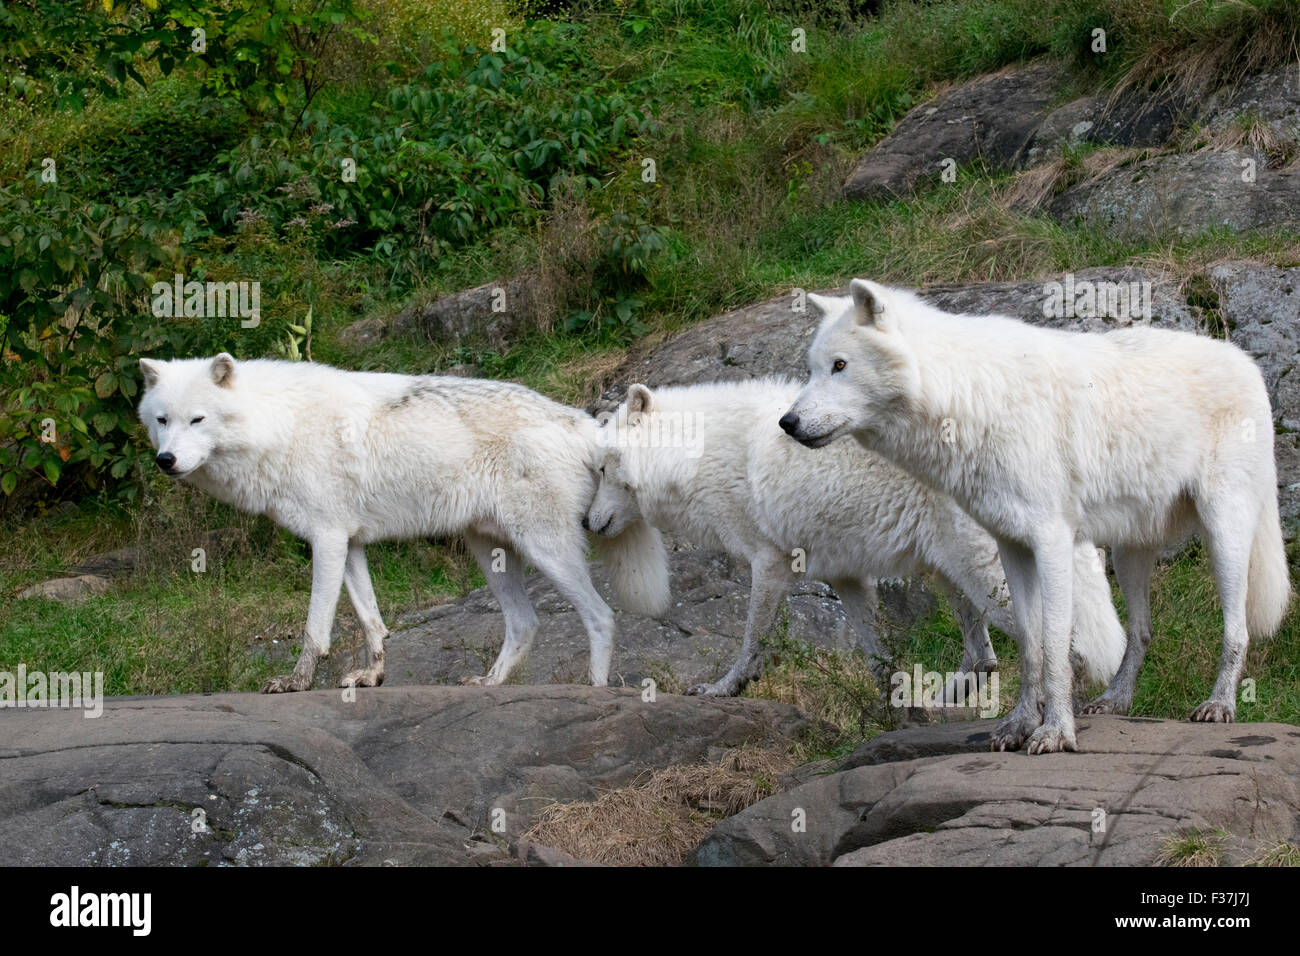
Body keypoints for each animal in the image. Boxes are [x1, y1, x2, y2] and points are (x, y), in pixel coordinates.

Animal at [137, 353, 669, 692]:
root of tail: (589, 426)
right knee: (524, 623)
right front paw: (372, 677)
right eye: (162, 420)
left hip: (547, 550)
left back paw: (594, 687)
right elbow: (373, 623)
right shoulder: (349, 544)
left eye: (198, 420)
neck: (278, 425)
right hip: (489, 552)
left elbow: (316, 630)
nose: (165, 460)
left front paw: (296, 682)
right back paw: (490, 682)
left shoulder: (326, 540)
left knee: (600, 616)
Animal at [585, 378, 1125, 701]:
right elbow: (877, 657)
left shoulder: (769, 564)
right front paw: (891, 710)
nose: (588, 524)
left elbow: (751, 641)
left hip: (985, 579)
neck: (697, 456)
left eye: (605, 468)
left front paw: (725, 688)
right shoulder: (844, 577)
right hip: (951, 574)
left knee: (1063, 651)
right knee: (985, 660)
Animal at [782, 281, 1290, 753]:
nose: (787, 423)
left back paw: (1220, 704)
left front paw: (1056, 732)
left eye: (840, 365)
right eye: (812, 369)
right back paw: (1116, 700)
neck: (968, 396)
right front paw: (1019, 725)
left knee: (1238, 629)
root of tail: (1246, 361)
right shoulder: (1012, 545)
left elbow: (1057, 646)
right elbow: (1031, 646)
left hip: (1224, 534)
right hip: (1128, 553)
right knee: (1142, 630)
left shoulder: (1053, 542)